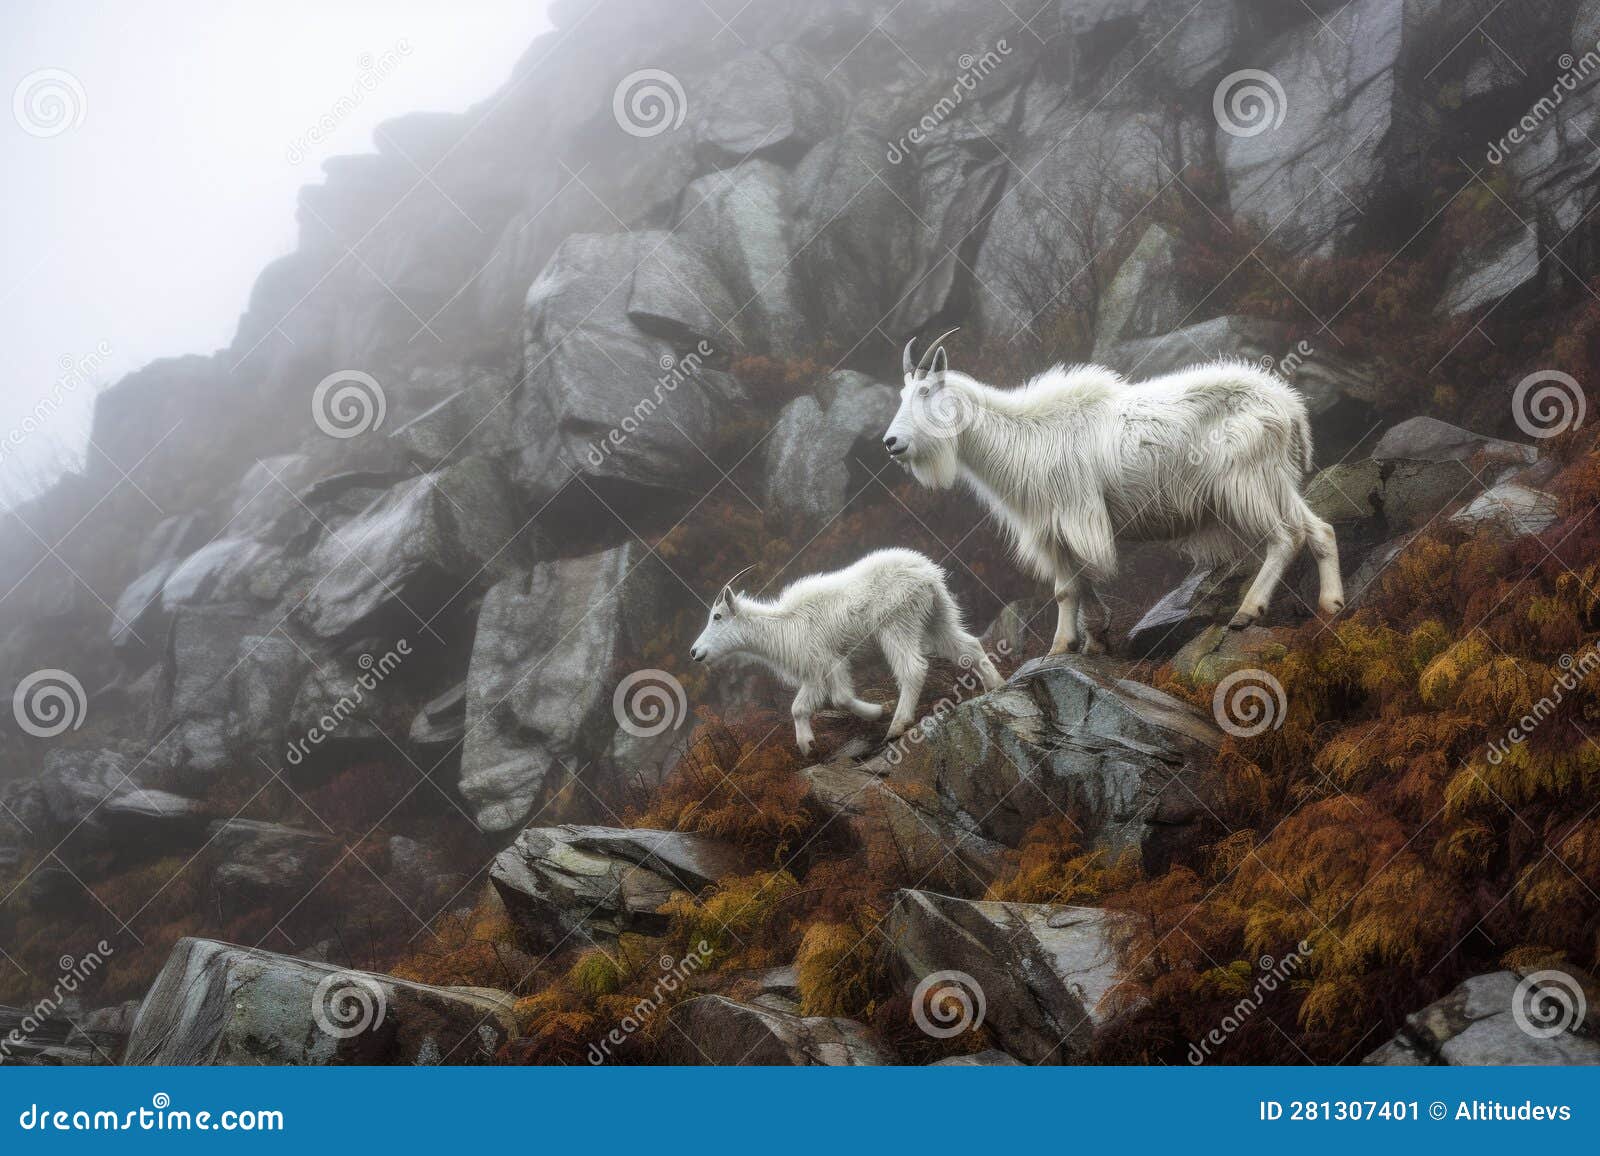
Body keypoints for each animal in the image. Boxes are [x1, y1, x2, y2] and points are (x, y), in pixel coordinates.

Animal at [689, 548, 1003, 756]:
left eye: (717, 616)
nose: (694, 652)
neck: (783, 626)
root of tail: (927, 576)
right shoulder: (813, 674)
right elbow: (798, 707)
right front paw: (806, 745)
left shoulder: (829, 661)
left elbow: (840, 698)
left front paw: (877, 711)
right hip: (937, 617)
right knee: (968, 646)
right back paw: (995, 684)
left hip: (897, 624)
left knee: (912, 668)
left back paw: (896, 725)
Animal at [882, 332, 1343, 655]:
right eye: (903, 394)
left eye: (925, 392)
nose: (891, 443)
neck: (1026, 435)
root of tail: (1290, 407)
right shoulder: (1056, 528)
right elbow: (1077, 583)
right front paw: (1094, 639)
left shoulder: (1073, 516)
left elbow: (1069, 587)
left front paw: (1062, 646)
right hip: (1274, 480)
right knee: (1319, 529)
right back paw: (1331, 604)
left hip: (1244, 483)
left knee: (1284, 538)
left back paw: (1249, 612)